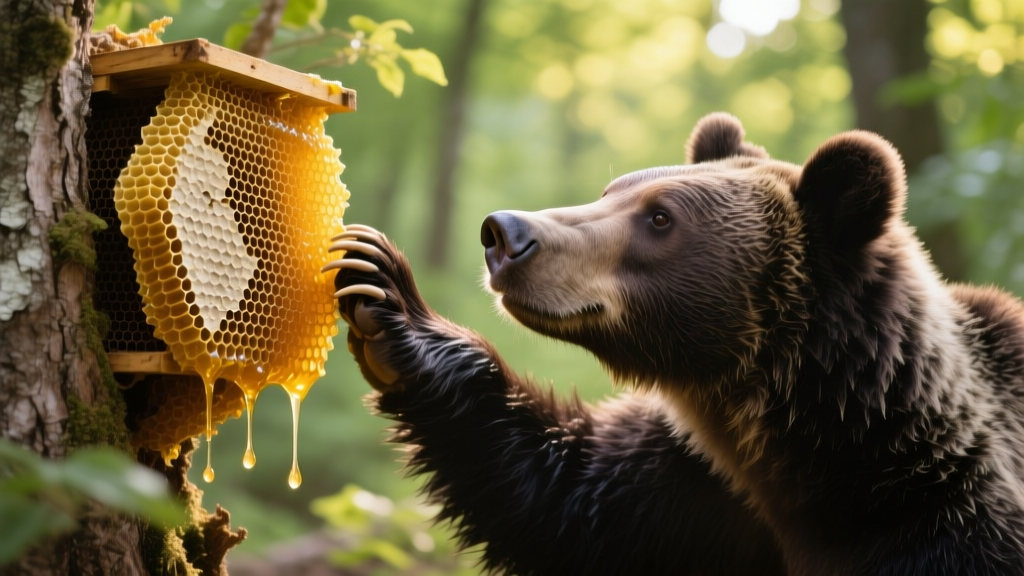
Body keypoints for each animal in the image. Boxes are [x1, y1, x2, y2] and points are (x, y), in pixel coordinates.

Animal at [326, 113, 1024, 576]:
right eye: (611, 191)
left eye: (661, 217)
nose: (505, 233)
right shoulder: (692, 490)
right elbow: (558, 497)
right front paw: (381, 293)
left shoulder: (942, 528)